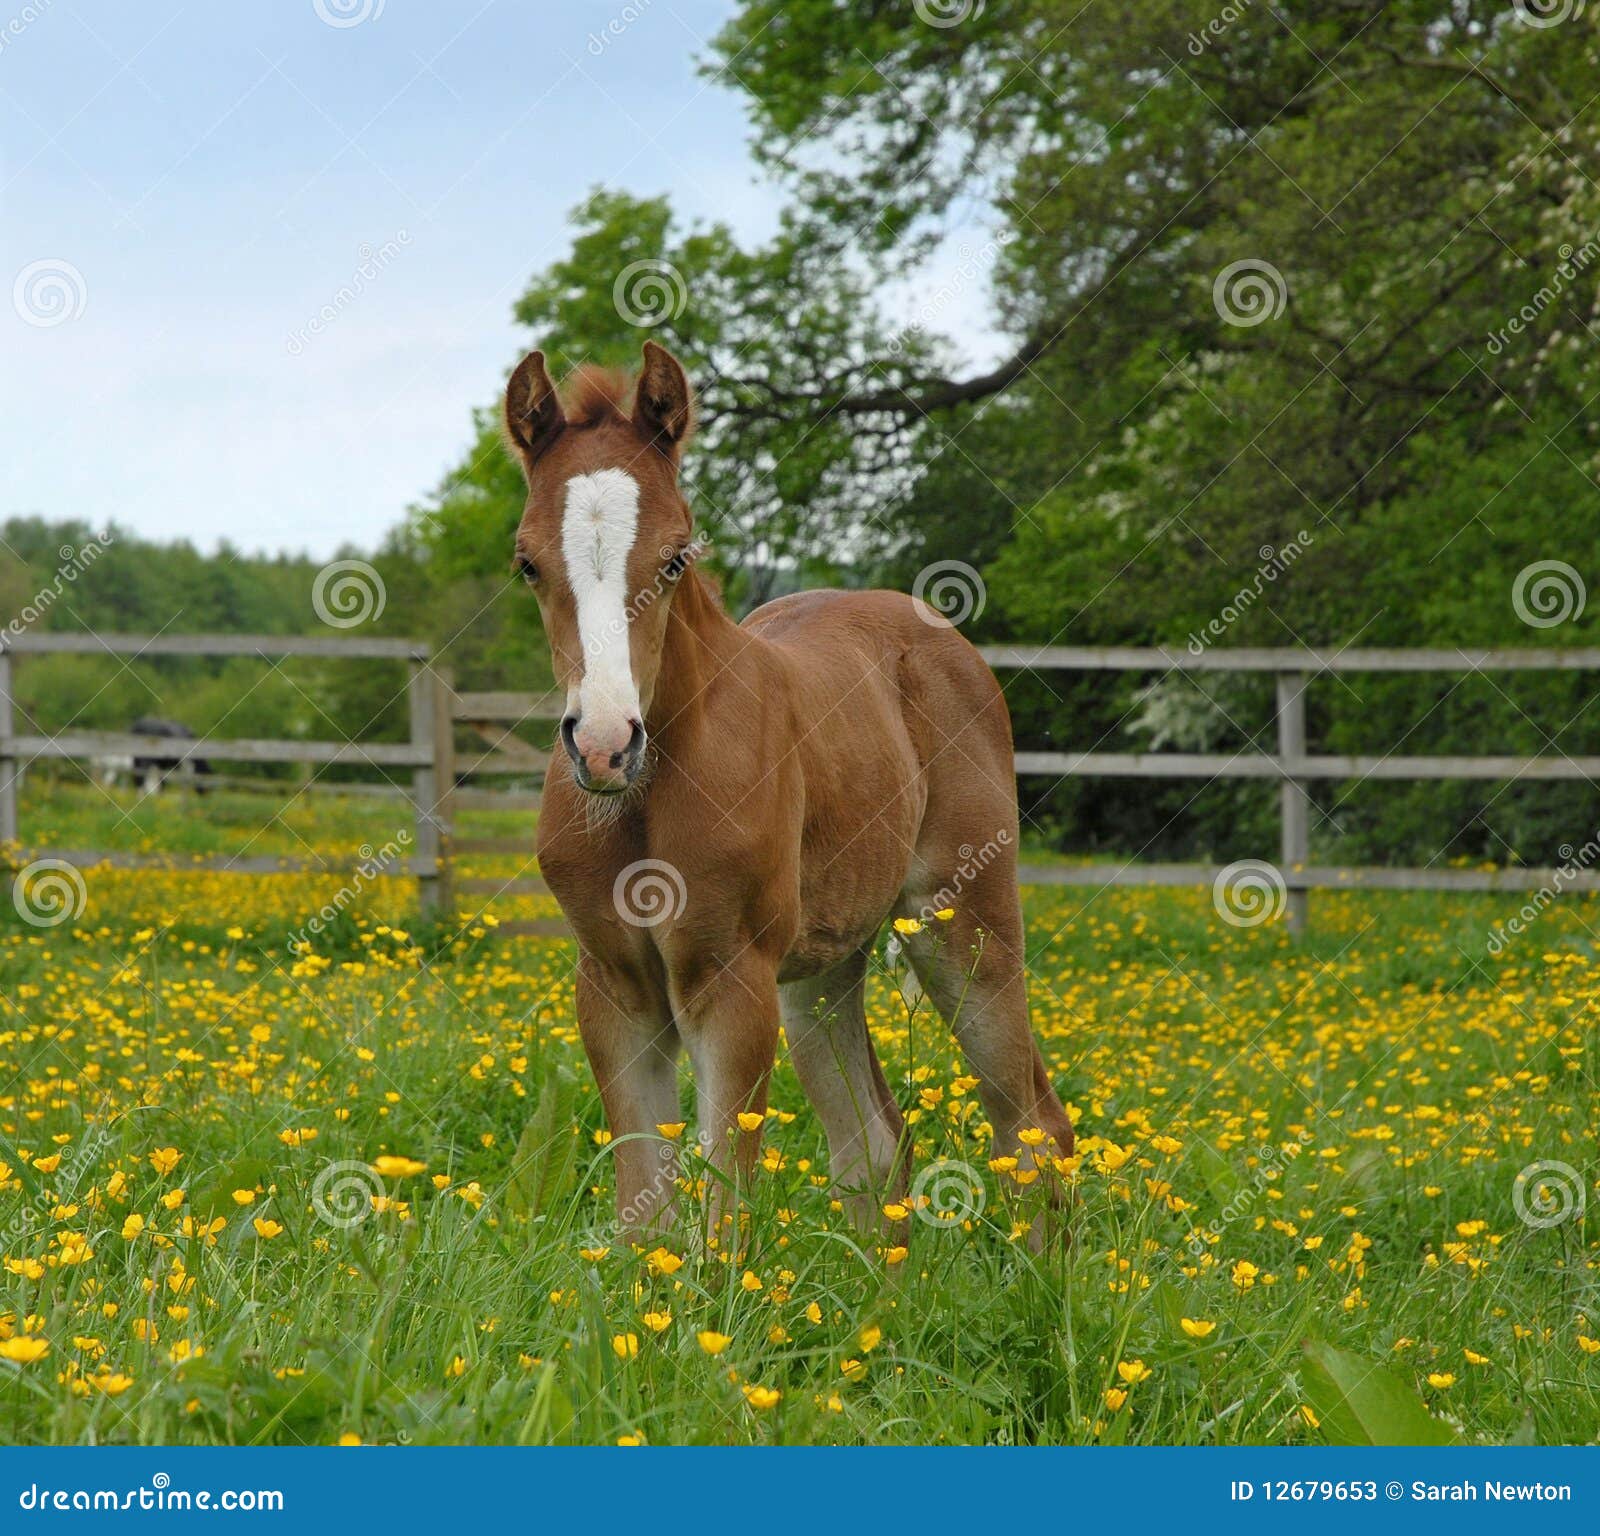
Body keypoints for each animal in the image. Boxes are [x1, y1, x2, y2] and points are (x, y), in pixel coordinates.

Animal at [505, 341, 1075, 1247]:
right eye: (528, 563)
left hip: (965, 924)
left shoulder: (732, 980)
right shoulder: (613, 989)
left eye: (676, 557)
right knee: (875, 1144)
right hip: (821, 966)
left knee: (1030, 1122)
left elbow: (722, 1216)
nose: (604, 744)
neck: (644, 801)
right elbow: (645, 1218)